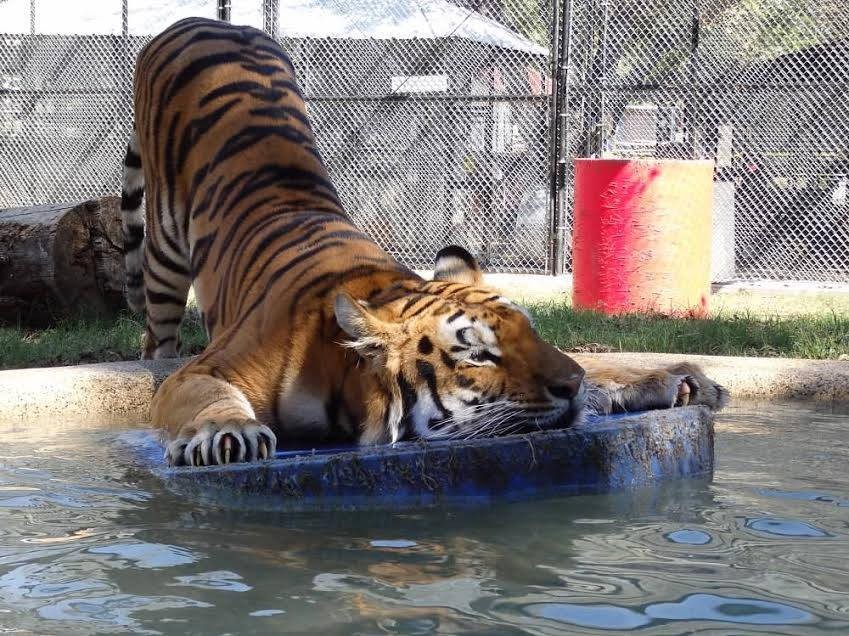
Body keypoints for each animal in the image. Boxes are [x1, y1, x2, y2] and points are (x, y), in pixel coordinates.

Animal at [121, 17, 728, 467]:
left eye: (532, 334)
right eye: (479, 354)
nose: (572, 387)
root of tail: (206, 21)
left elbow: (600, 363)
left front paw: (674, 379)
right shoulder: (207, 371)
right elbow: (207, 396)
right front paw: (229, 432)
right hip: (164, 254)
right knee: (157, 339)